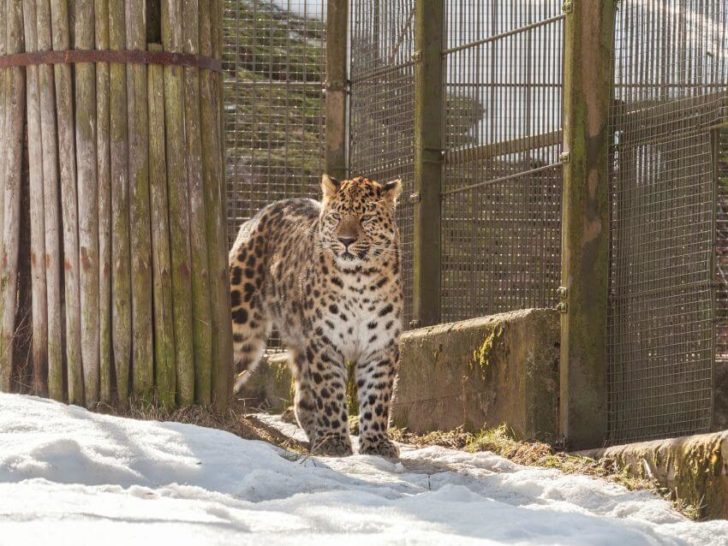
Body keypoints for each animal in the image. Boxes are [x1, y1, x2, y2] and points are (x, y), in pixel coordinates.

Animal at [229, 174, 403, 458]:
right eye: (337, 216)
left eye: (366, 217)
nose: (345, 240)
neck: (358, 280)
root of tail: (256, 216)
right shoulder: (325, 341)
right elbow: (330, 392)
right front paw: (334, 441)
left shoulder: (380, 345)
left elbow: (377, 395)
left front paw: (376, 443)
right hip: (241, 323)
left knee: (302, 399)